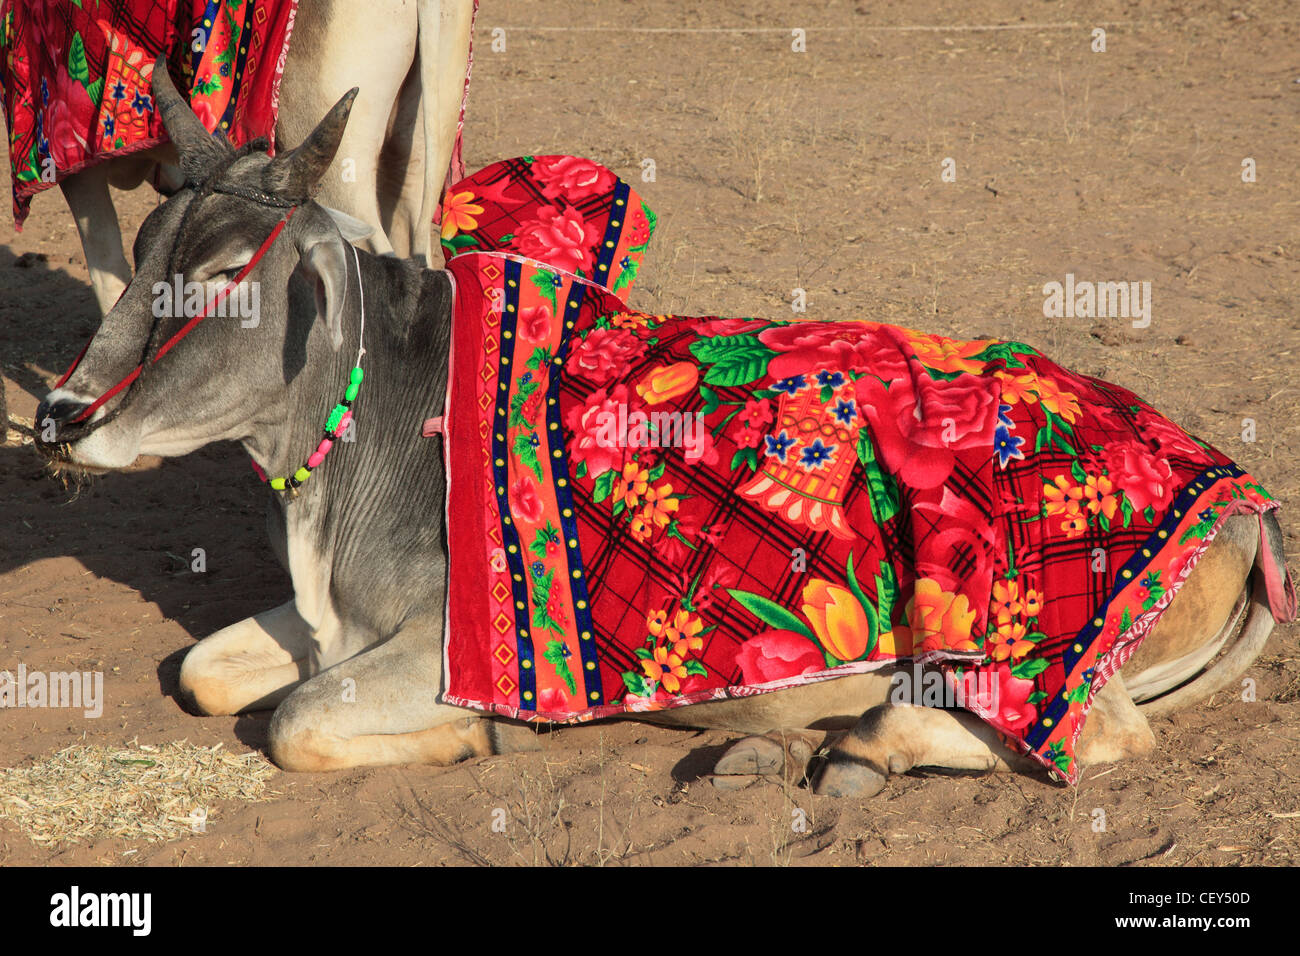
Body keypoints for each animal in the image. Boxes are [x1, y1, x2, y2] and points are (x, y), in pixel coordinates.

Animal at [33, 68, 1293, 798]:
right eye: (140, 252)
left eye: (215, 275)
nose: (59, 415)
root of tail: (1238, 503)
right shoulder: (327, 618)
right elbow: (204, 671)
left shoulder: (444, 653)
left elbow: (294, 719)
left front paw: (477, 746)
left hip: (1017, 651)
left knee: (1100, 737)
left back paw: (860, 741)